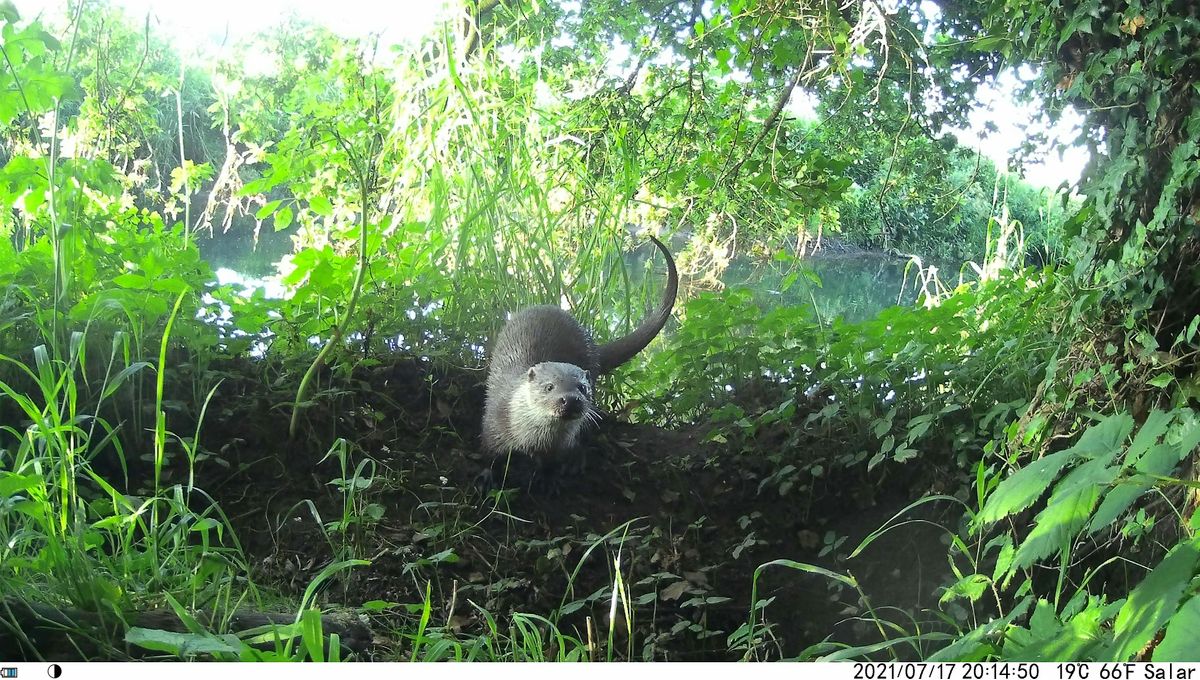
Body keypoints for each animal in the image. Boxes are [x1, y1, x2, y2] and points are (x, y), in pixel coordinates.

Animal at [479, 235, 678, 488]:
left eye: (583, 388)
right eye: (549, 387)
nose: (571, 399)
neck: (535, 441)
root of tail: (593, 347)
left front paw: (550, 479)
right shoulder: (493, 425)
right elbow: (489, 454)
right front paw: (487, 476)